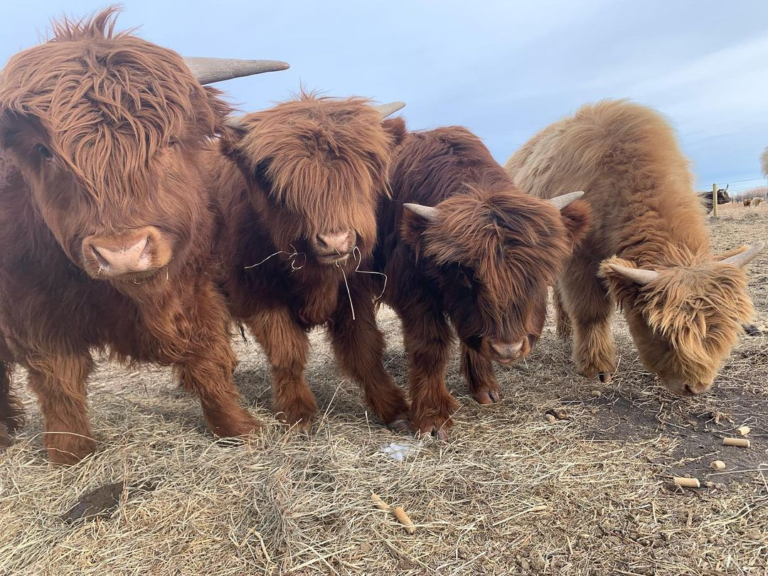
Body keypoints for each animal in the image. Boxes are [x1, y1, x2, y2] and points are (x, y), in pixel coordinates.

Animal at [0, 9, 288, 463]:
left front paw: (239, 429)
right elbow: (58, 379)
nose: (122, 253)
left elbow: (208, 357)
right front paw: (70, 454)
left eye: (169, 140)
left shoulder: (196, 287)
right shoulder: (33, 310)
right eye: (43, 151)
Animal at [212, 94, 411, 431]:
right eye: (278, 181)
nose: (334, 240)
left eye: (364, 170)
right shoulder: (258, 296)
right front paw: (298, 411)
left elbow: (365, 348)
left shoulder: (353, 290)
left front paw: (392, 407)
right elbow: (286, 352)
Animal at [372, 124, 590, 437]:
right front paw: (433, 417)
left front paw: (484, 388)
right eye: (465, 274)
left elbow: (471, 336)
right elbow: (429, 345)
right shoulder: (412, 291)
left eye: (537, 271)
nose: (508, 349)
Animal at [505, 100, 763, 396]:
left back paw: (566, 334)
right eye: (659, 331)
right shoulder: (579, 261)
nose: (694, 386)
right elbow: (590, 312)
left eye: (722, 326)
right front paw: (597, 367)